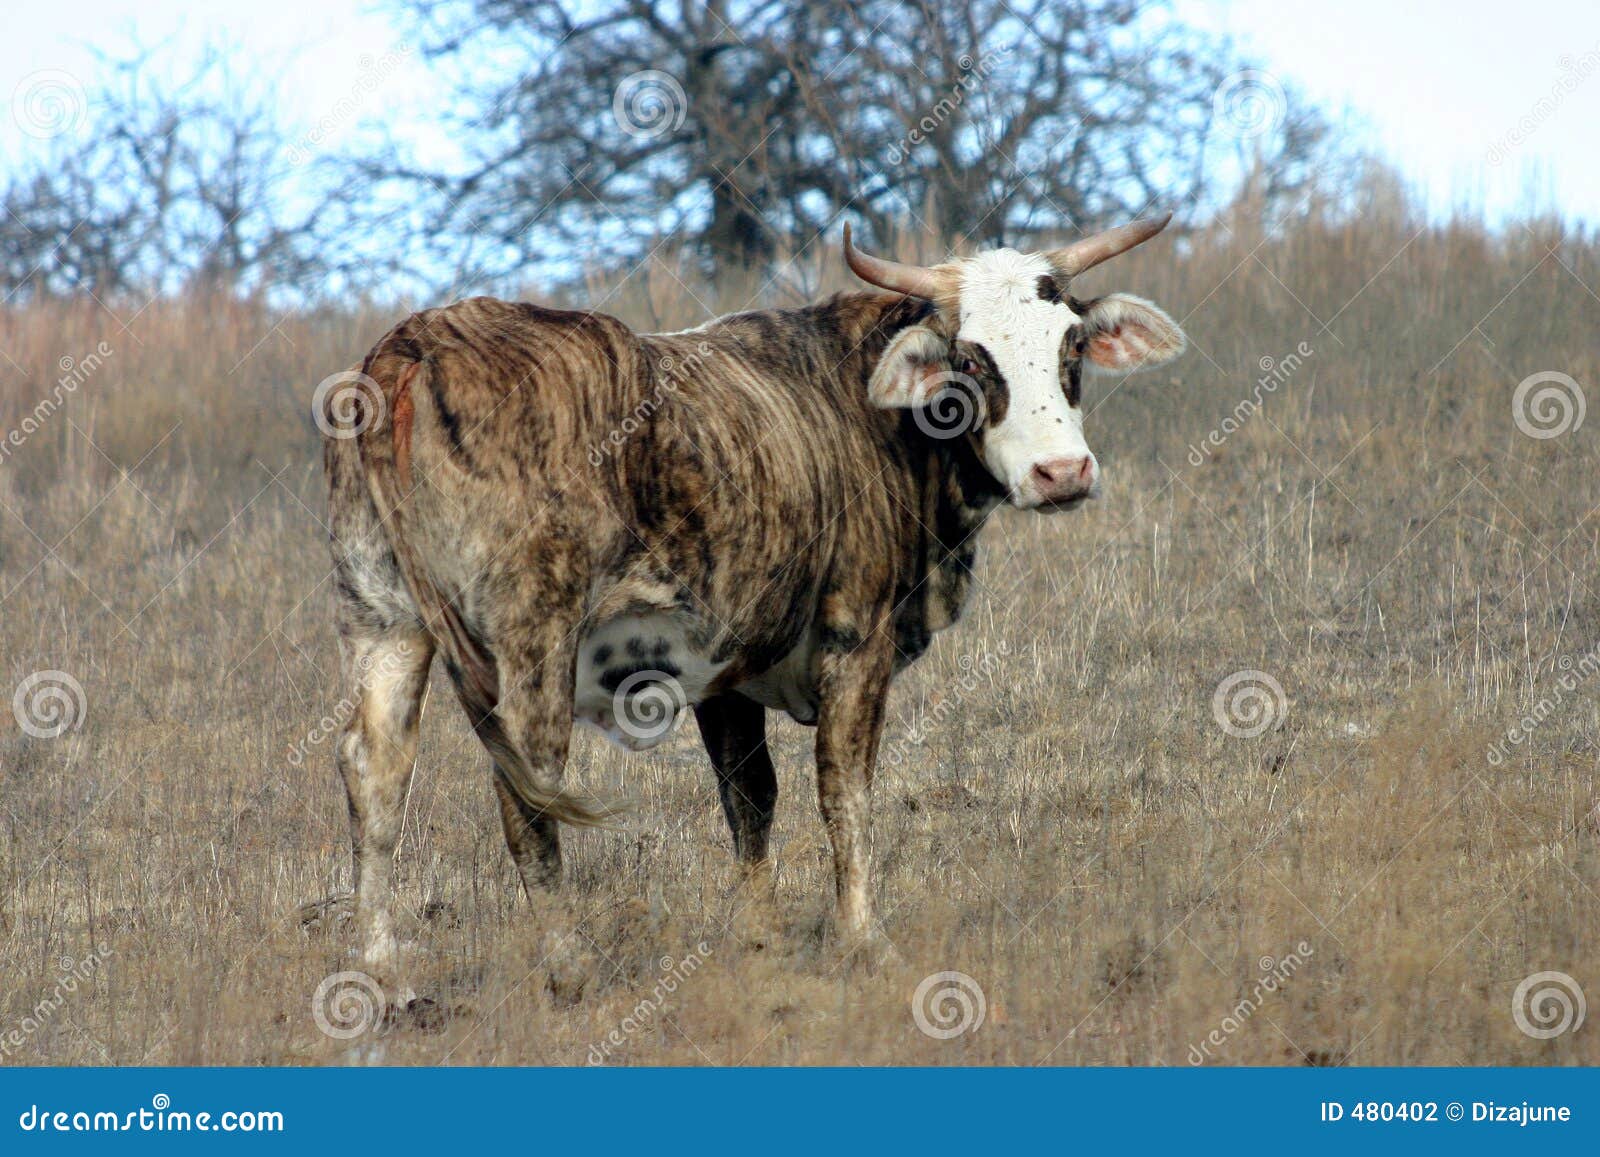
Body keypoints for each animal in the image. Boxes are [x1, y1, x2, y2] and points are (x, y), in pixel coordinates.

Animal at [321, 216, 1186, 980]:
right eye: (970, 361)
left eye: (1071, 343)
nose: (1061, 472)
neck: (865, 409)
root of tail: (415, 345)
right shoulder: (856, 644)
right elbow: (844, 792)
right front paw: (863, 937)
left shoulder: (720, 674)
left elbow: (751, 801)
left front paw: (761, 937)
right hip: (533, 641)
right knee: (526, 790)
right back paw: (568, 965)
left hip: (383, 621)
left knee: (376, 774)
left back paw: (381, 963)